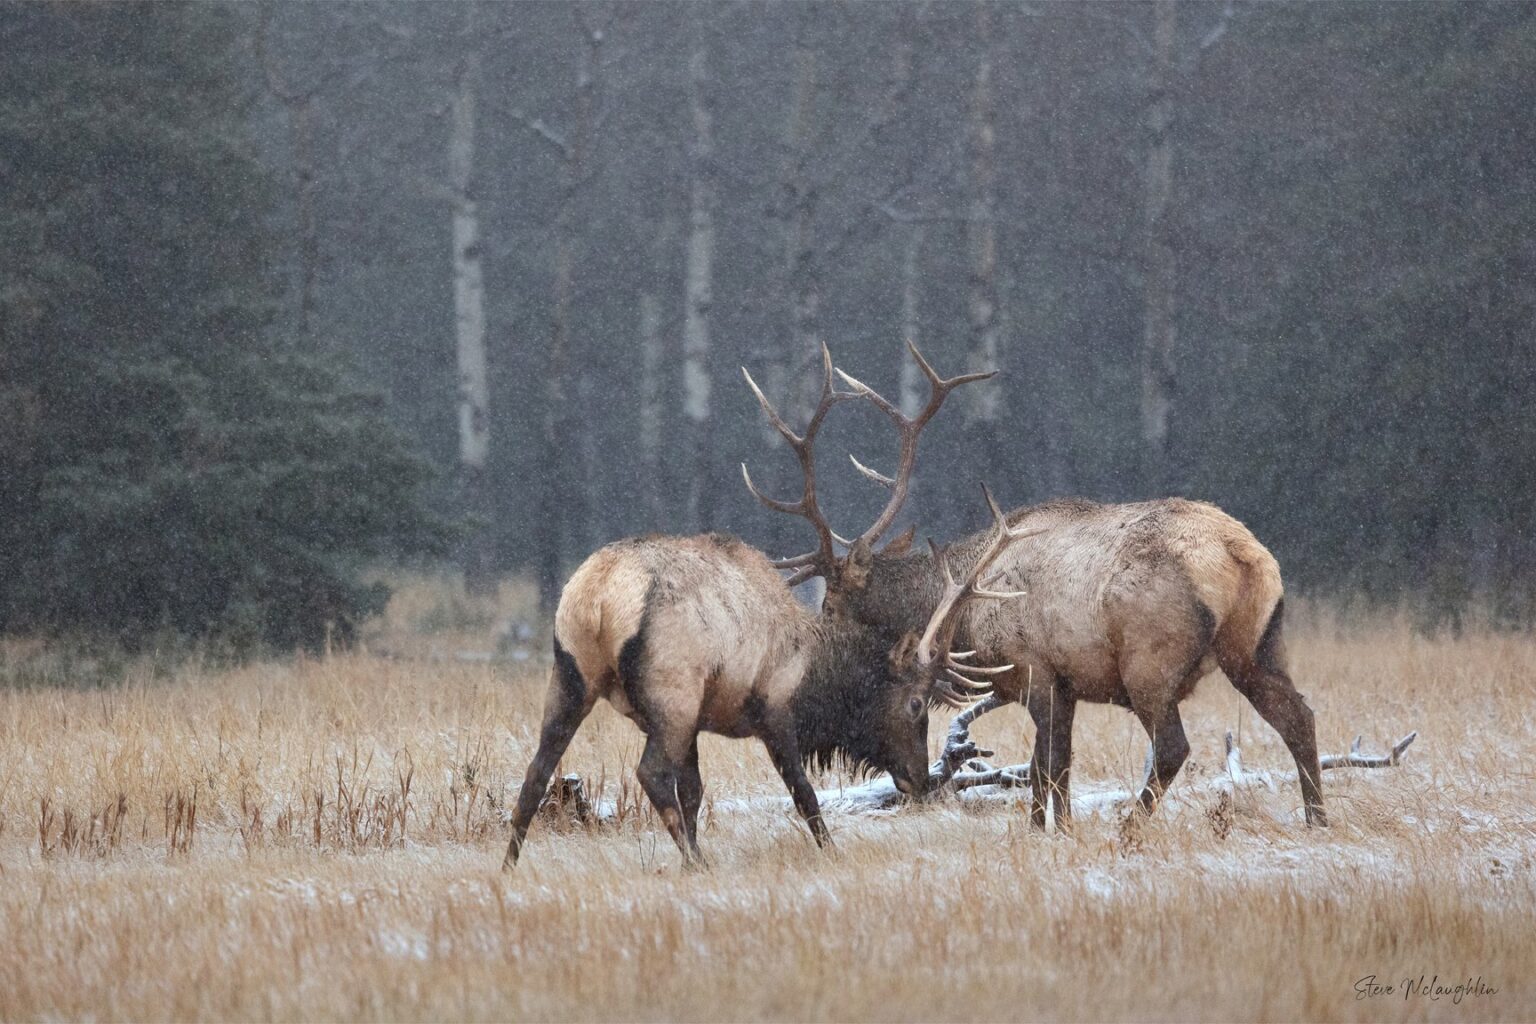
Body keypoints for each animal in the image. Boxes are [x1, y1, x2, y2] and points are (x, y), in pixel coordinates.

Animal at [502, 349, 1010, 871]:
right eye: (914, 702)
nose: (920, 780)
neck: (816, 670)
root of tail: (600, 596)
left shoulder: (702, 720)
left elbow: (695, 791)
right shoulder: (774, 705)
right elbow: (802, 794)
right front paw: (829, 851)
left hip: (570, 673)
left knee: (535, 774)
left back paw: (509, 867)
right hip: (672, 689)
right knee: (649, 773)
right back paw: (693, 863)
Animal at [746, 342, 1346, 831]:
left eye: (833, 604)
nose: (809, 648)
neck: (963, 613)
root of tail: (1241, 556)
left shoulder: (1034, 668)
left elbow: (1046, 767)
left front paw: (1044, 831)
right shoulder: (1067, 683)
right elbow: (1055, 765)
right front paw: (1059, 828)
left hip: (1150, 660)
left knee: (1173, 747)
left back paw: (1130, 827)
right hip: (1259, 644)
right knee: (1299, 717)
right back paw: (1316, 818)